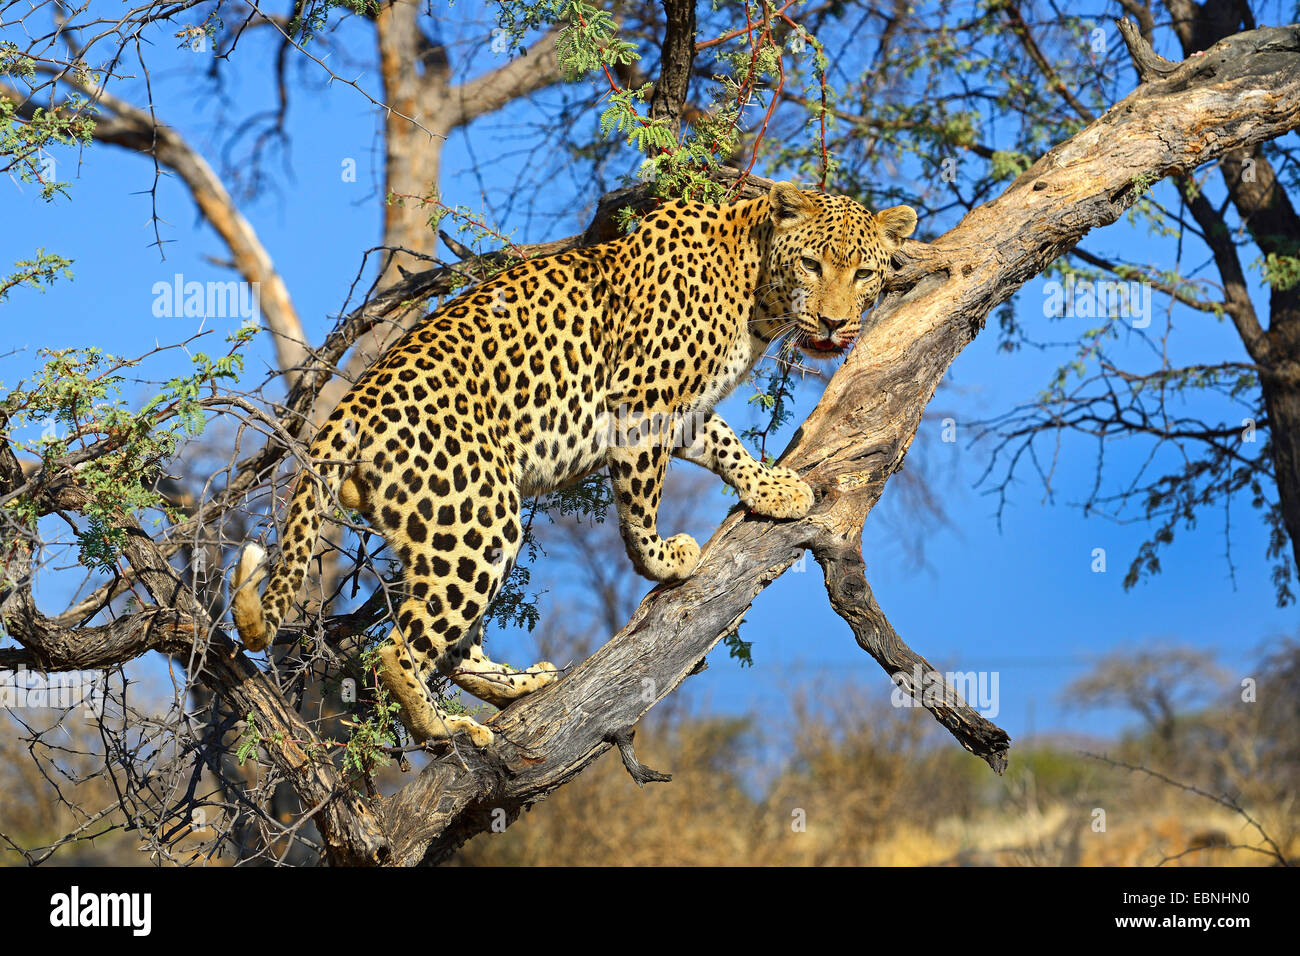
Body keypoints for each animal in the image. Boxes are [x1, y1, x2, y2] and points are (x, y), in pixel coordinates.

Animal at [229, 181, 916, 748]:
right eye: (812, 264)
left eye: (863, 273)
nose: (834, 321)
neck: (755, 289)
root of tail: (346, 409)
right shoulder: (642, 399)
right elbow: (641, 499)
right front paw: (663, 561)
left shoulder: (683, 408)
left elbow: (723, 441)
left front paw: (772, 489)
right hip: (478, 512)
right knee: (395, 651)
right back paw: (444, 727)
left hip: (441, 524)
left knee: (445, 637)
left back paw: (519, 685)